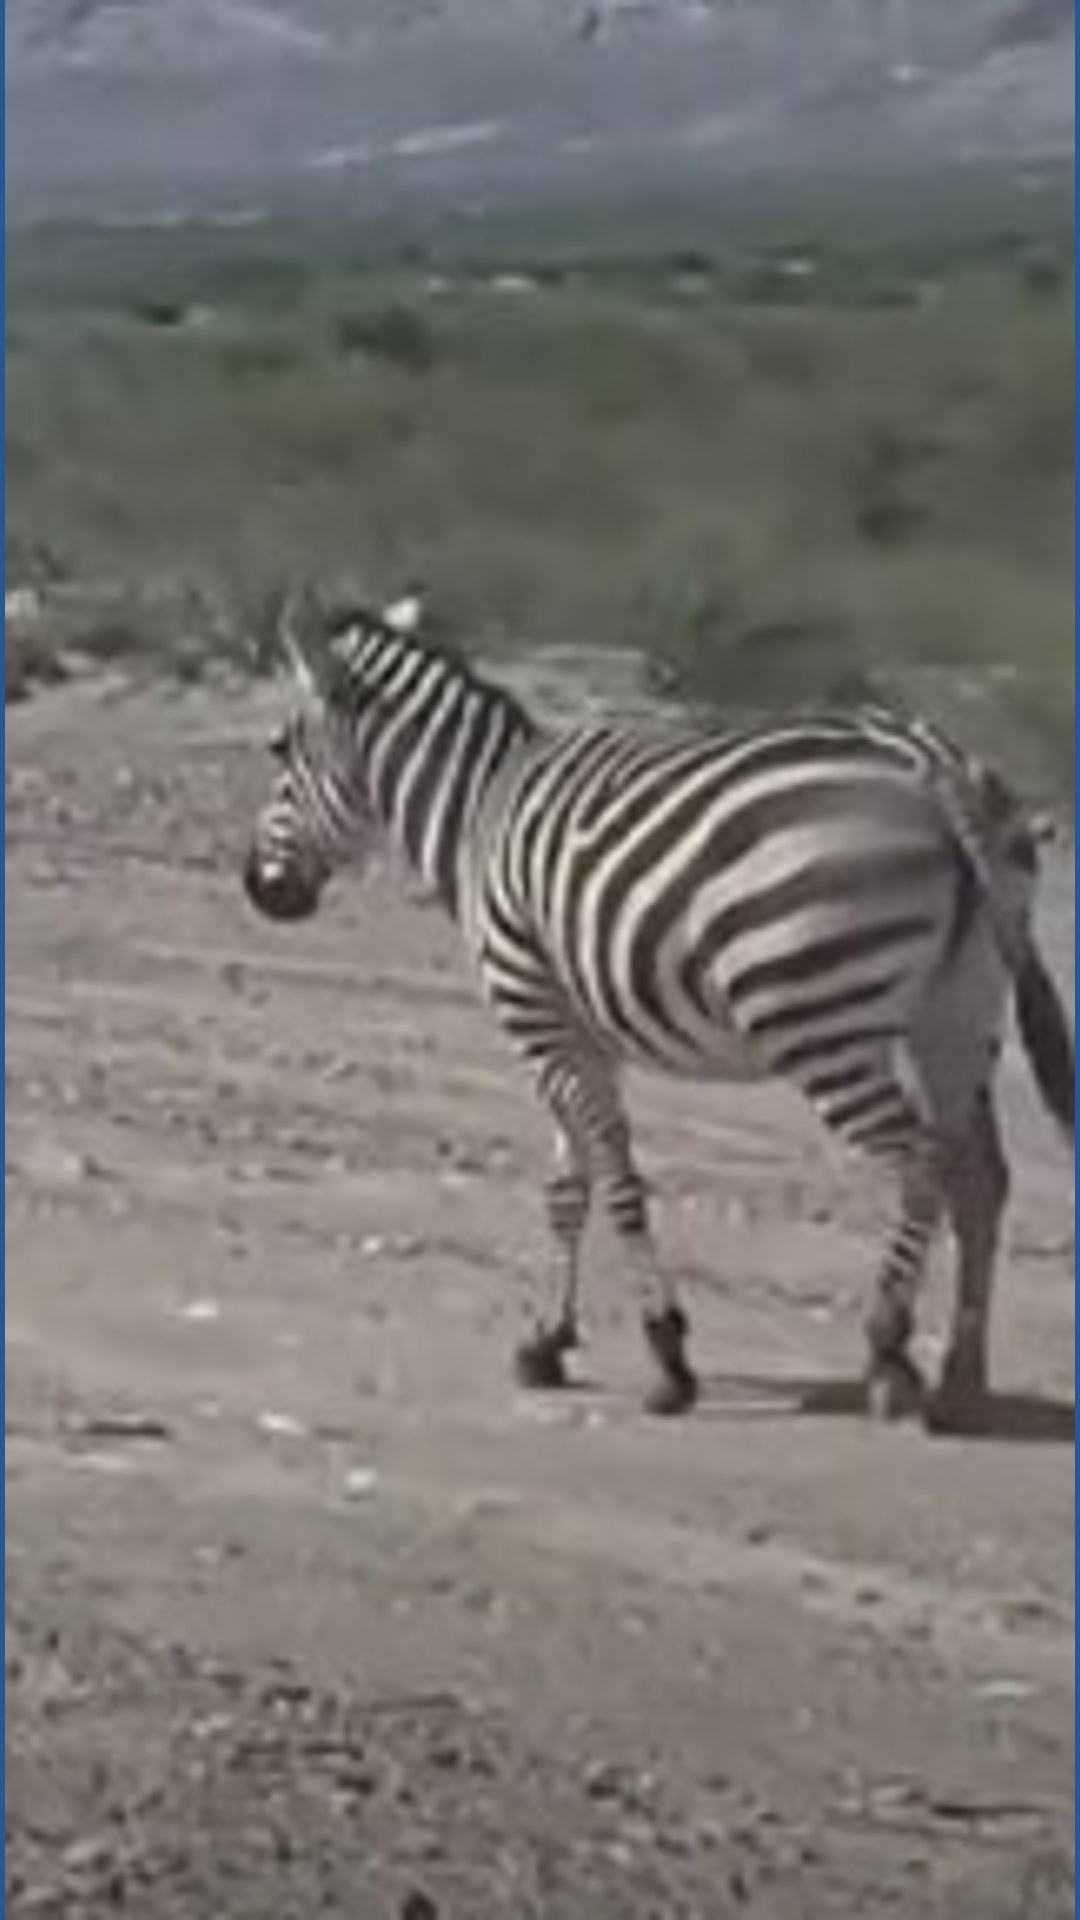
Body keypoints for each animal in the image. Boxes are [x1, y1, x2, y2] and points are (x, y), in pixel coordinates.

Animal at [242, 594, 1074, 1432]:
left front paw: (666, 1351)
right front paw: (547, 1338)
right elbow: (568, 1184)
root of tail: (936, 765)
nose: (257, 889)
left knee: (918, 1165)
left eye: (278, 750)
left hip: (816, 1016)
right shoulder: (576, 1030)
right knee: (977, 1178)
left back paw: (887, 1353)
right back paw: (962, 1381)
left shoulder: (532, 1012)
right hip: (959, 1014)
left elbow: (614, 1173)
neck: (478, 810)